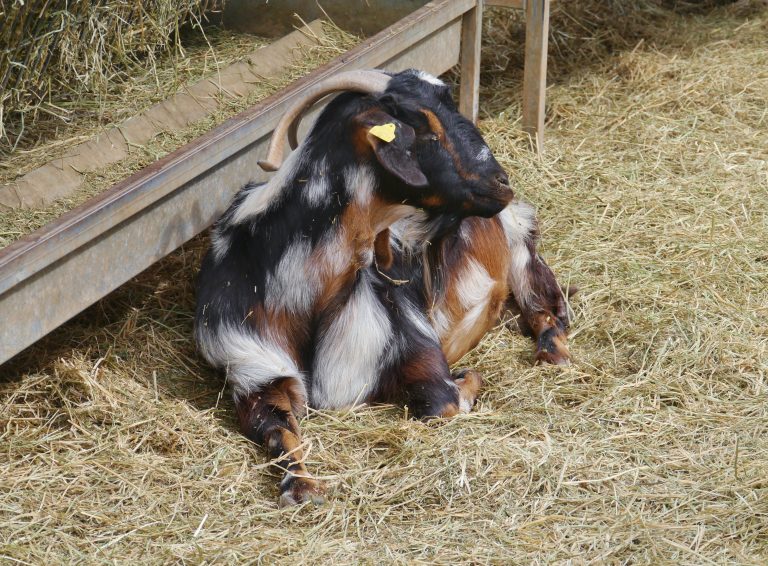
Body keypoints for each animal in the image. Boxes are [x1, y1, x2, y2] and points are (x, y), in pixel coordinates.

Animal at [195, 69, 572, 507]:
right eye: (426, 130)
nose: (501, 183)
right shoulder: (252, 371)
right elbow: (276, 430)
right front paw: (301, 486)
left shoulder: (417, 348)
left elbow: (447, 400)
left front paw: (468, 376)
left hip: (516, 239)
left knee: (543, 301)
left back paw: (553, 351)